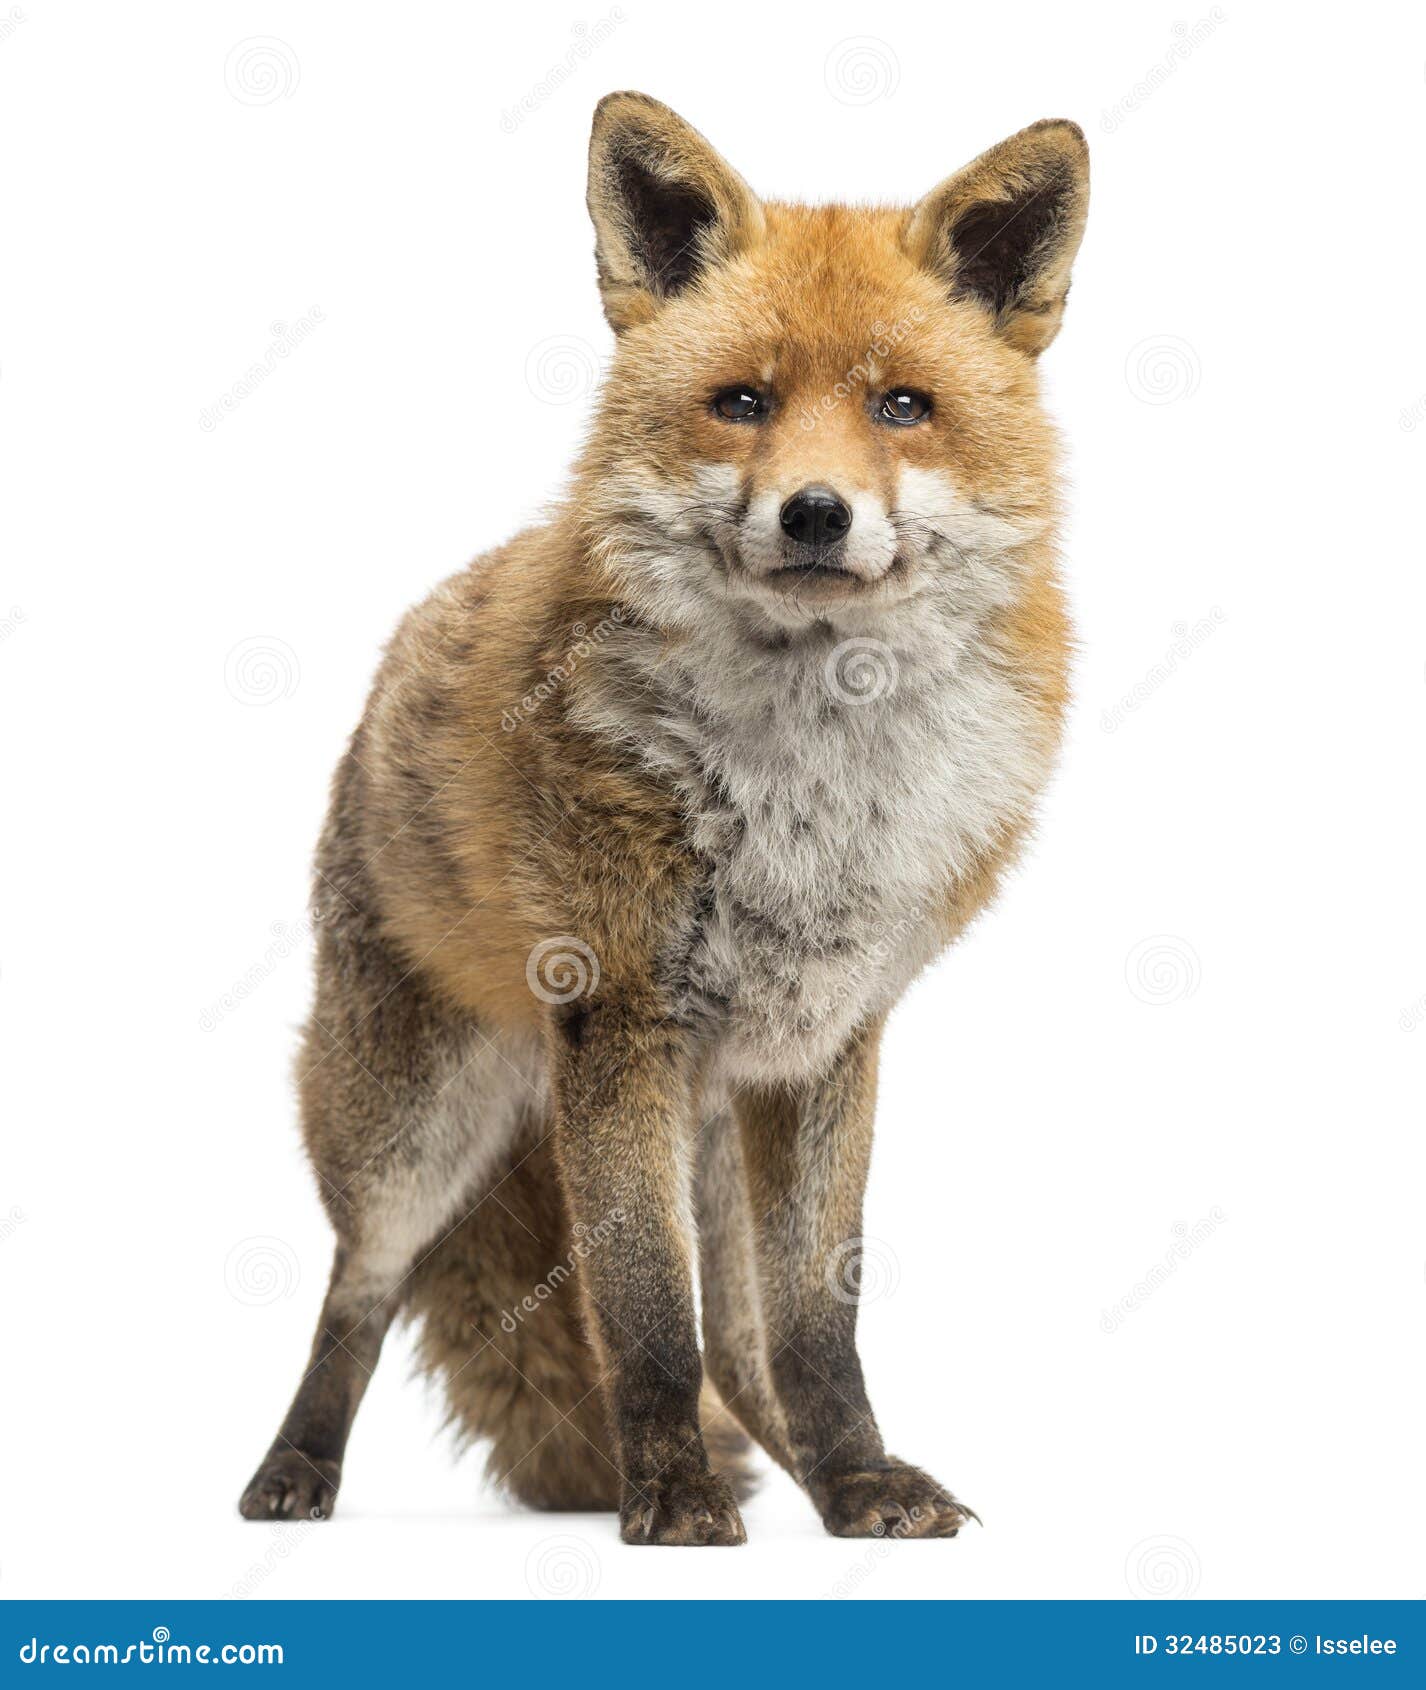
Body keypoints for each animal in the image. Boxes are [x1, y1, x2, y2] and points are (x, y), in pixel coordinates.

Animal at [238, 92, 1088, 1546]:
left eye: (901, 407)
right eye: (741, 403)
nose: (815, 513)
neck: (808, 790)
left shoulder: (823, 1043)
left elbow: (810, 1326)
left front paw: (858, 1480)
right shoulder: (618, 1019)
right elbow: (642, 1316)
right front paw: (670, 1497)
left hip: (703, 1120)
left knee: (741, 1349)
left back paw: (815, 1476)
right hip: (419, 1124)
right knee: (359, 1287)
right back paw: (293, 1472)